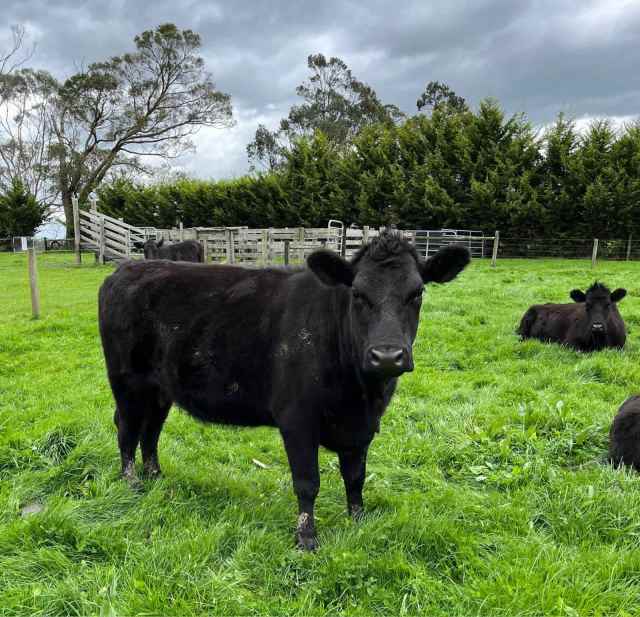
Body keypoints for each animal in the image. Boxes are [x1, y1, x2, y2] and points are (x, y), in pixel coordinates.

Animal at [98, 231, 470, 550]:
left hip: (160, 388)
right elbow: (307, 482)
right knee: (127, 428)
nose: (388, 355)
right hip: (127, 381)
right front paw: (306, 538)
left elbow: (355, 477)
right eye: (357, 293)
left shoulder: (362, 427)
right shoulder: (297, 419)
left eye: (417, 293)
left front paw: (359, 522)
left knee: (151, 431)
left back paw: (156, 478)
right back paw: (132, 482)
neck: (362, 394)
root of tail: (128, 268)